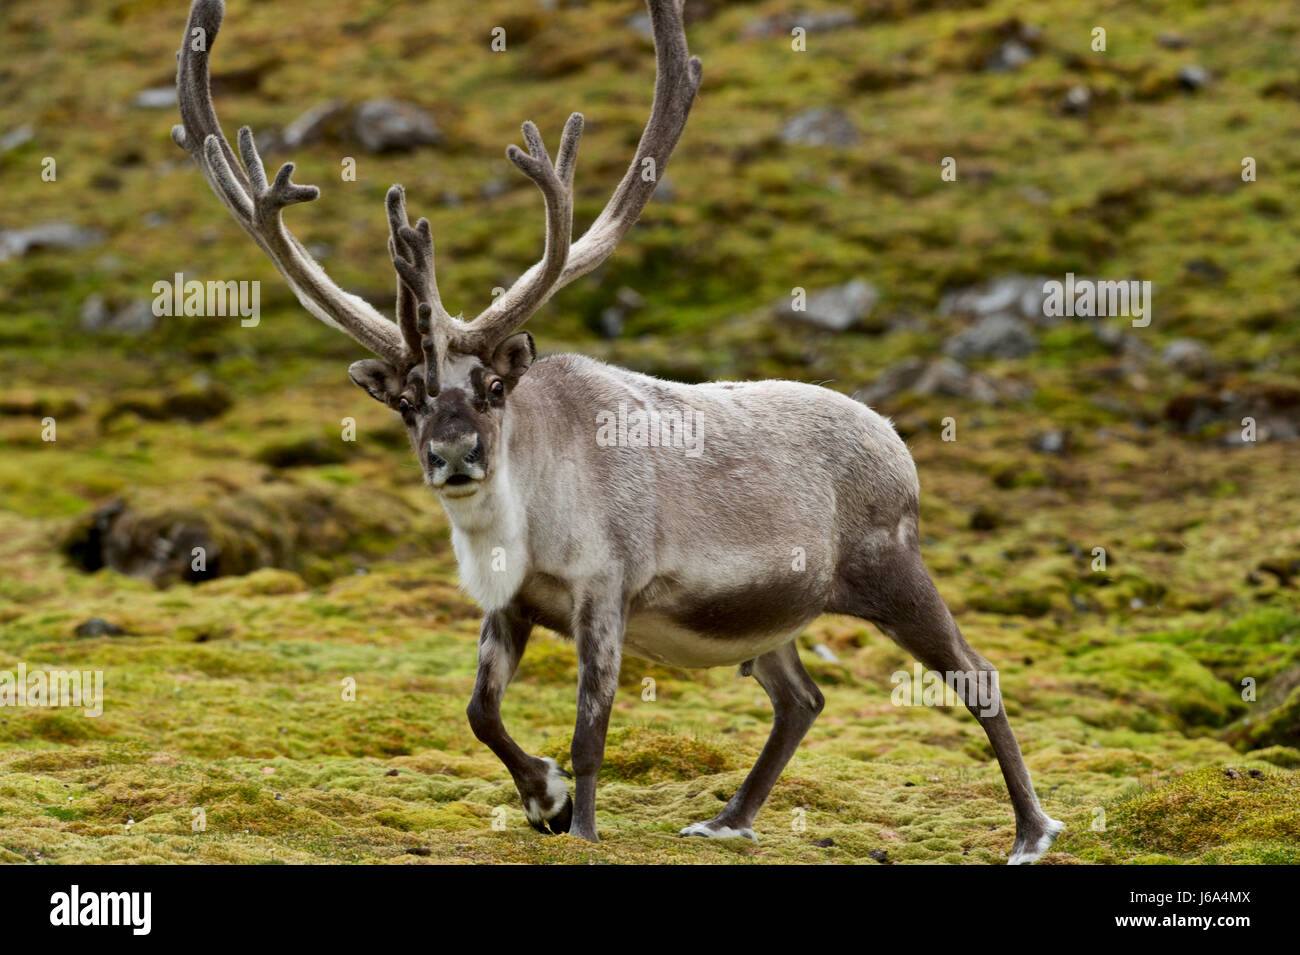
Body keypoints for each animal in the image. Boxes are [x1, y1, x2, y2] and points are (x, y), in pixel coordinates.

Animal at [173, 0, 1064, 863]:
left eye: (492, 387)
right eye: (409, 400)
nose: (454, 457)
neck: (522, 517)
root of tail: (896, 438)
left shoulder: (604, 589)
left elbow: (591, 731)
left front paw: (583, 826)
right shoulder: (510, 603)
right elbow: (478, 710)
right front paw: (545, 798)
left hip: (892, 566)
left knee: (978, 675)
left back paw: (1030, 832)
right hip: (772, 618)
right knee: (802, 698)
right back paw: (729, 819)